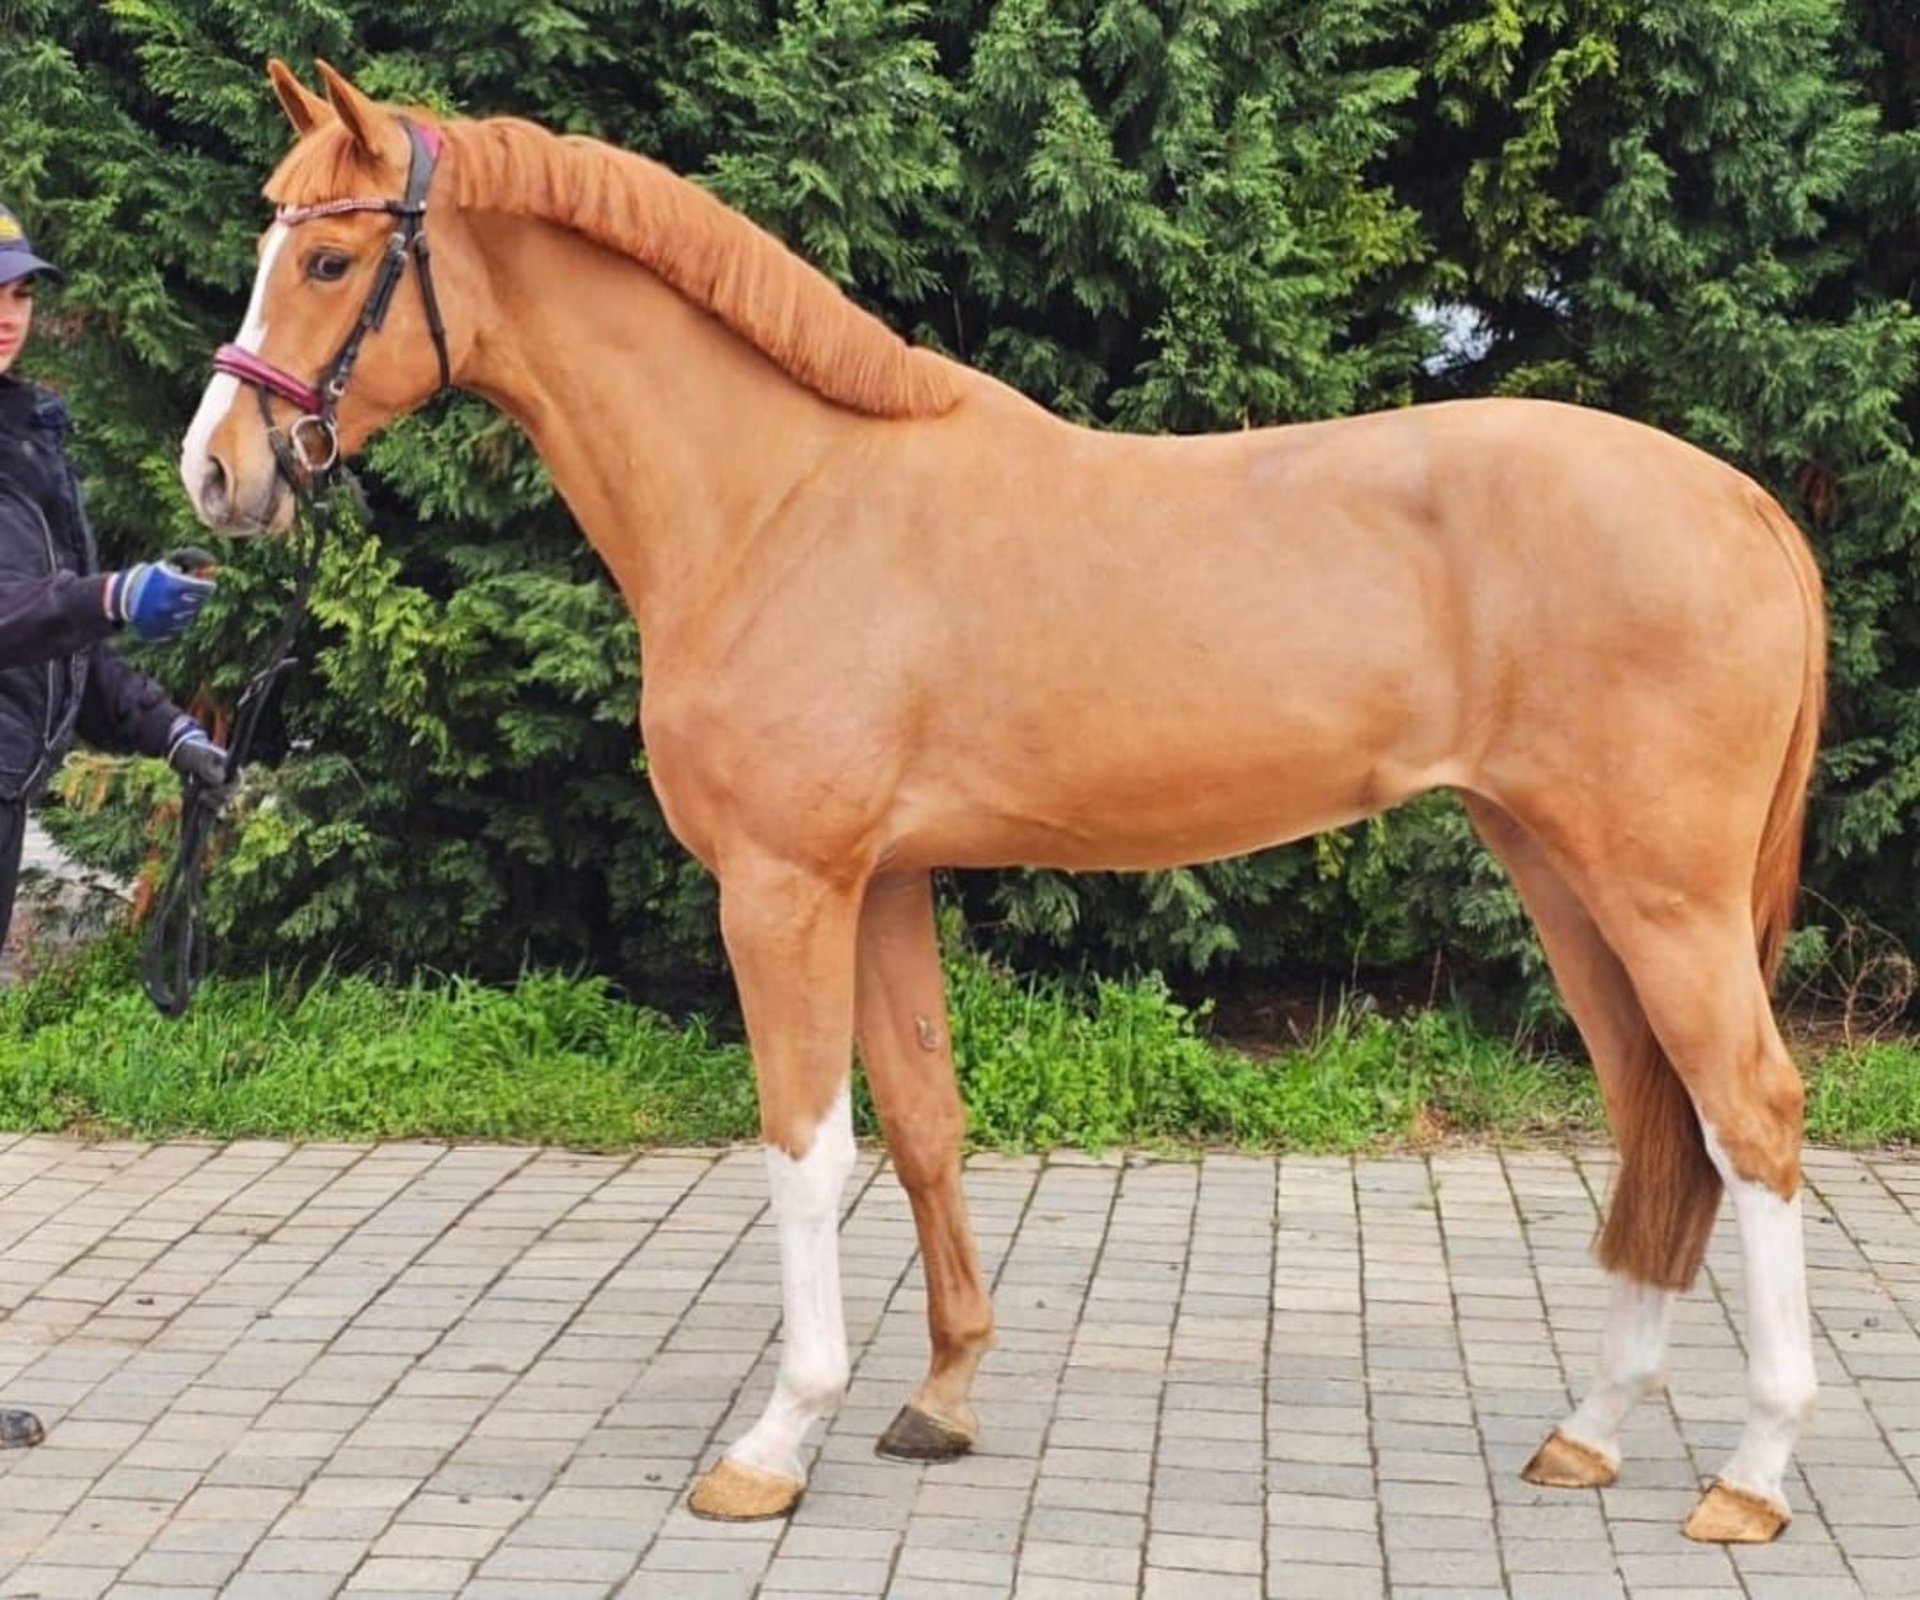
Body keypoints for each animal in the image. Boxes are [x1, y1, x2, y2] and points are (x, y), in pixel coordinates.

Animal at [180, 61, 1826, 1543]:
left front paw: (776, 1441)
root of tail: (1744, 501)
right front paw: (942, 1395)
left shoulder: (782, 887)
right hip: (1560, 871)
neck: (783, 498)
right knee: (1656, 1118)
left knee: (1750, 1113)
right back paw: (1590, 1432)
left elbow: (804, 1147)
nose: (215, 473)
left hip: (1658, 891)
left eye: (328, 258)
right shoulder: (883, 883)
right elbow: (923, 1123)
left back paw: (1751, 1474)